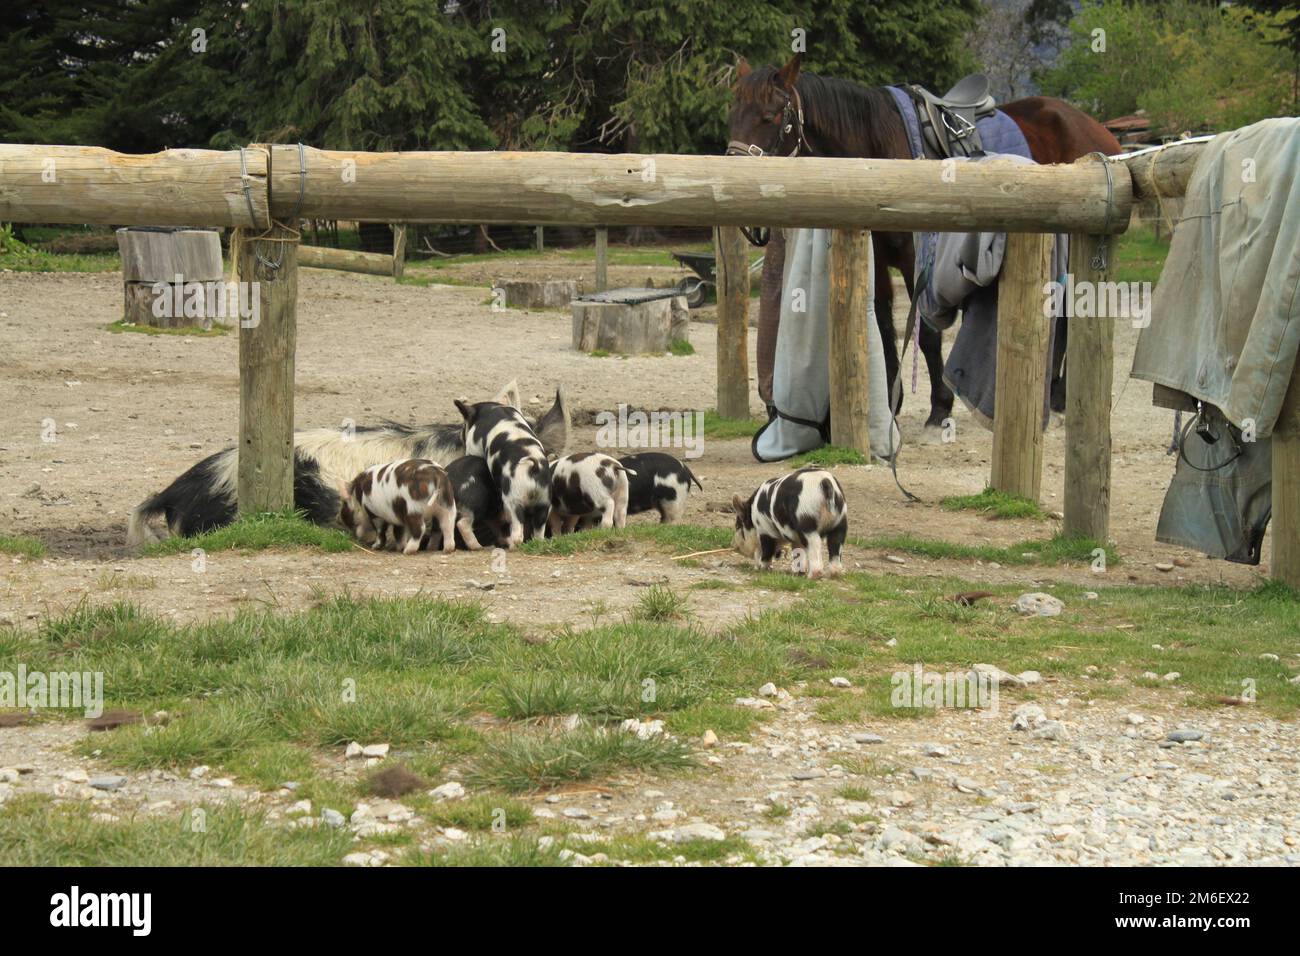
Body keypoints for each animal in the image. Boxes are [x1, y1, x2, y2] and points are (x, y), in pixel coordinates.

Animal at [728, 53, 1122, 427]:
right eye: (731, 113)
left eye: (770, 117)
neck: (878, 150)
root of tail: (1096, 130)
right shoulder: (879, 259)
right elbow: (884, 322)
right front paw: (891, 402)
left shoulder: (916, 259)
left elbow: (928, 333)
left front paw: (940, 406)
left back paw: (1060, 395)